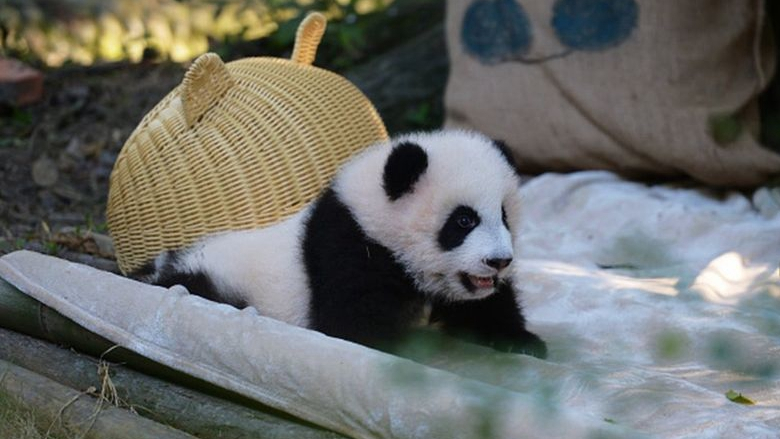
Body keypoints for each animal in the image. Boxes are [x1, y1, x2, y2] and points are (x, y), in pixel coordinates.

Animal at [133, 130, 546, 357]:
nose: (499, 262)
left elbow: (485, 306)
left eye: (504, 215)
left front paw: (521, 341)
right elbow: (351, 325)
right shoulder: (346, 247)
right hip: (217, 276)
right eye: (463, 220)